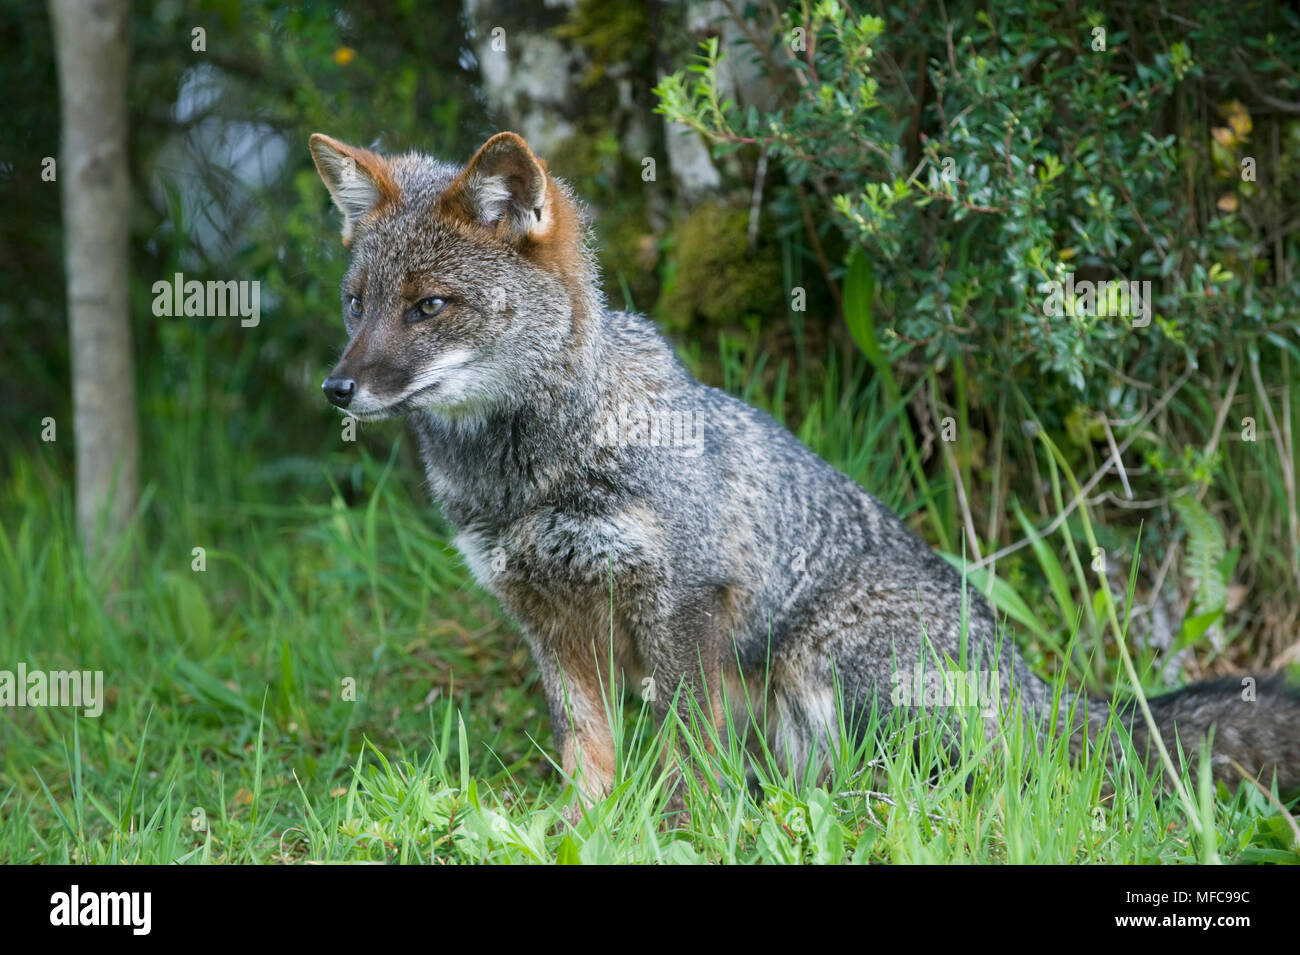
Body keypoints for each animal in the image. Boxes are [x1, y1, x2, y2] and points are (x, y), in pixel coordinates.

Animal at [308, 129, 1300, 813]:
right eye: (356, 305)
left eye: (429, 307)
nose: (337, 387)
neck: (534, 473)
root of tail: (1045, 691)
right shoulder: (546, 619)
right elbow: (586, 752)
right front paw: (583, 829)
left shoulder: (680, 599)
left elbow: (685, 750)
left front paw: (685, 829)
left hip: (819, 666)